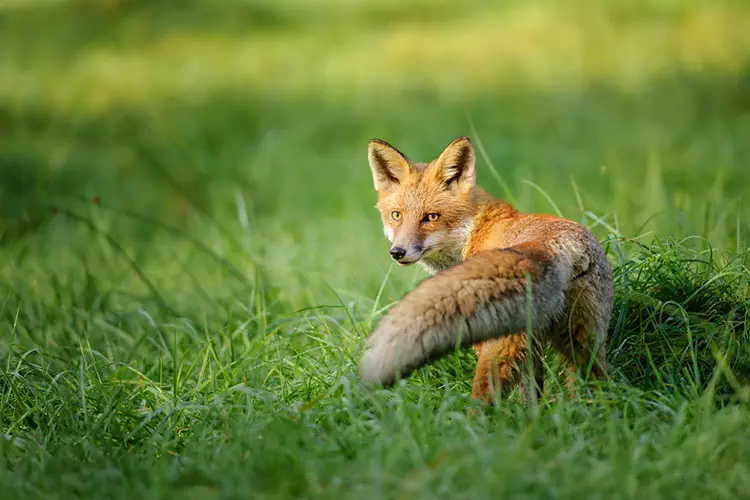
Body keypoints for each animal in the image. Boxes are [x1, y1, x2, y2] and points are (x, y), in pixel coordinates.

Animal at [360, 136, 616, 402]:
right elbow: (530, 396)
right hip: (584, 342)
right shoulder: (534, 347)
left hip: (497, 350)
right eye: (396, 215)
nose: (397, 252)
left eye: (431, 217)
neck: (473, 231)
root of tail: (551, 247)